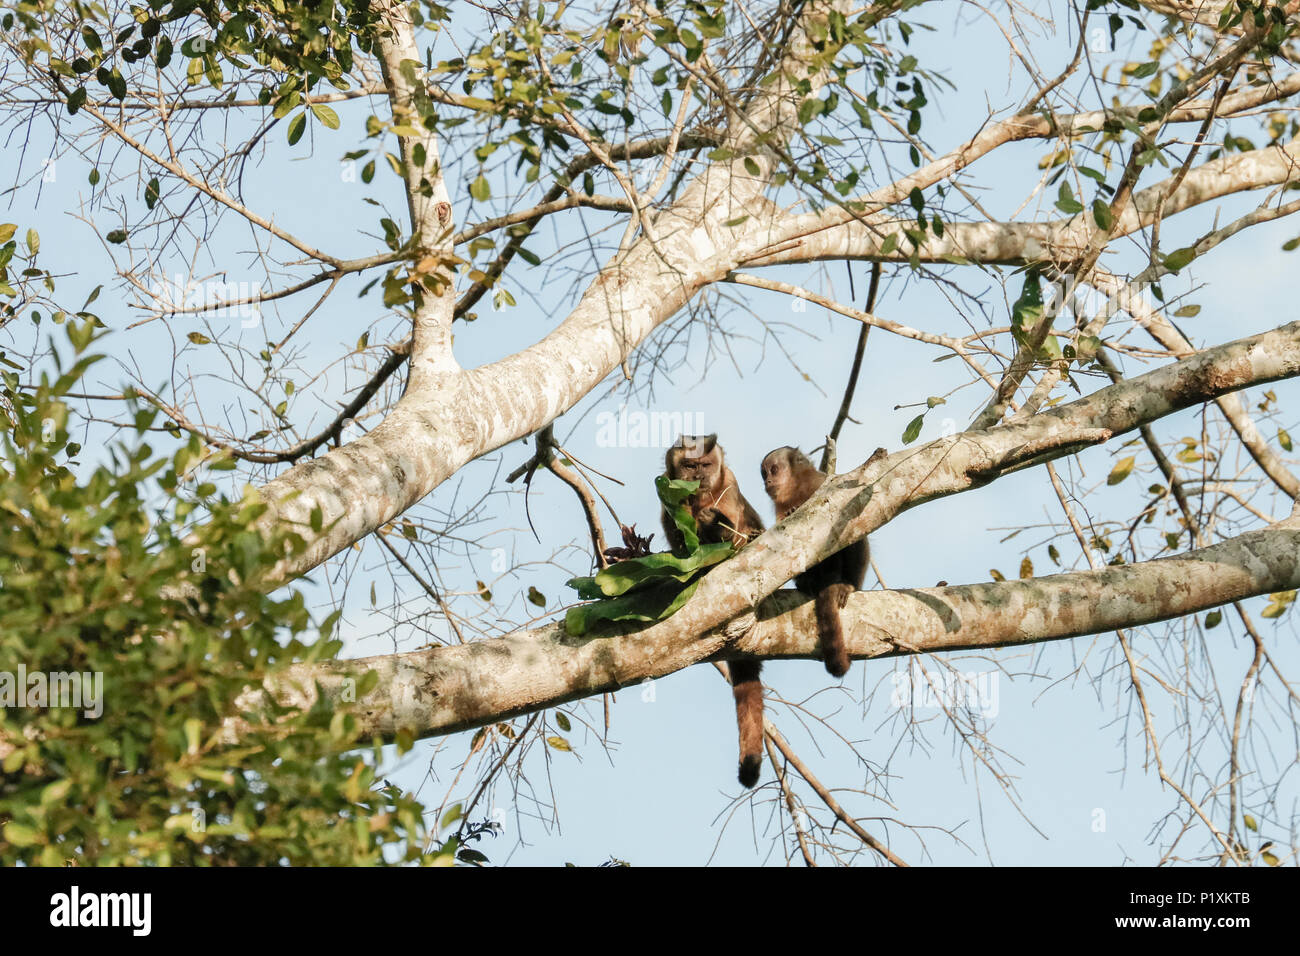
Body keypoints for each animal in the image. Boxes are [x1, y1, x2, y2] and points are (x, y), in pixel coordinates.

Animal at [661, 434, 767, 787]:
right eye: (689, 465)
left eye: (706, 465)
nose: (699, 476)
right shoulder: (667, 495)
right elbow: (681, 542)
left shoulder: (729, 483)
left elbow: (732, 537)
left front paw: (718, 526)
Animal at [760, 446, 870, 680]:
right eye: (764, 474)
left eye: (774, 470)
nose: (767, 481)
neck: (798, 488)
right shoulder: (781, 504)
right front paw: (791, 512)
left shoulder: (821, 483)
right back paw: (809, 583)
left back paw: (848, 585)